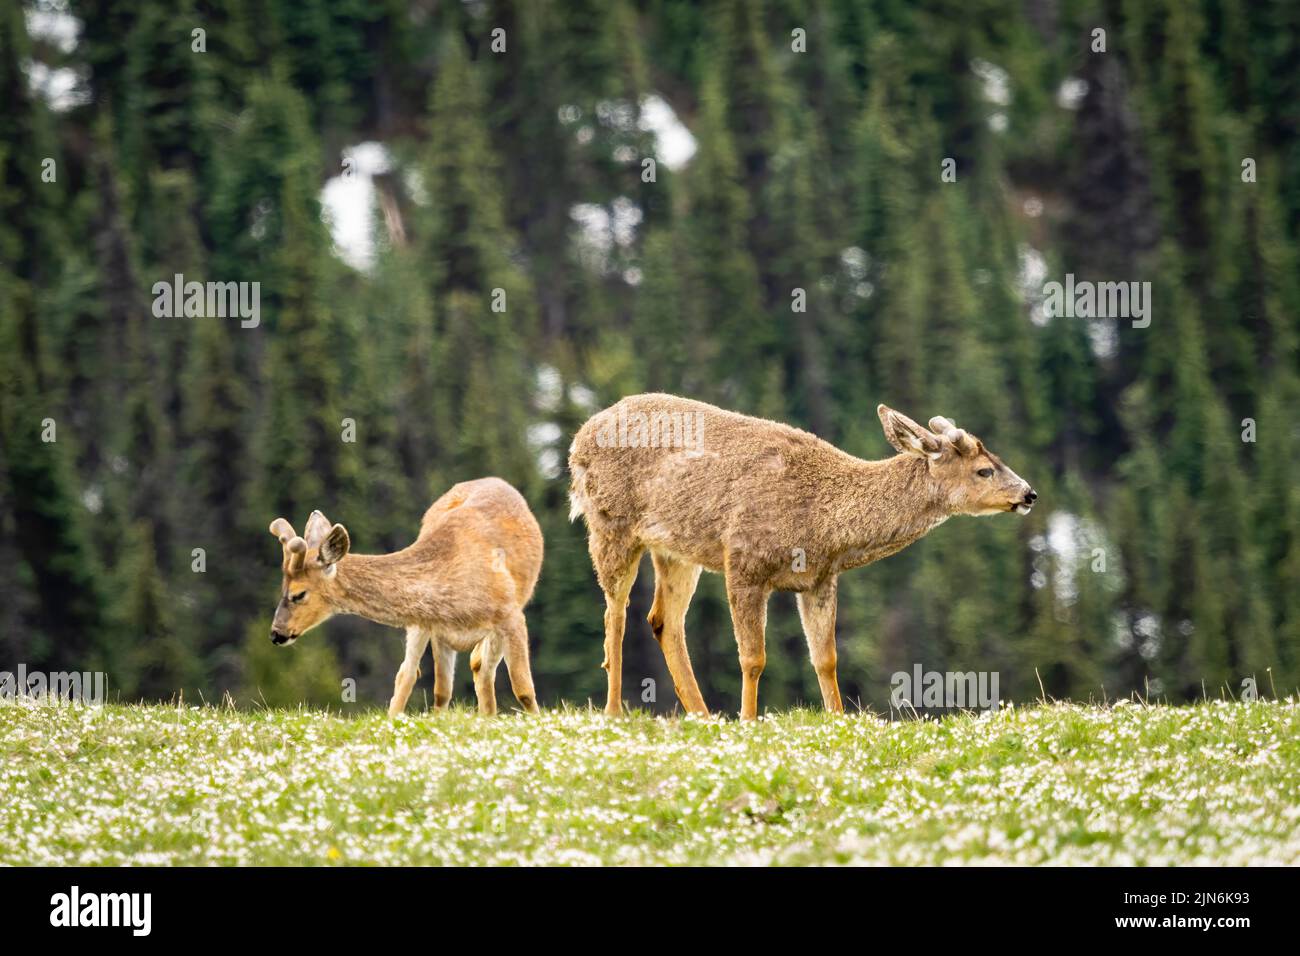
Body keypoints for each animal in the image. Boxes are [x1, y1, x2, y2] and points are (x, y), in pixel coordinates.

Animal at [266, 477, 544, 716]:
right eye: (281, 587)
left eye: (298, 594)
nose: (276, 633)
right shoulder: (437, 628)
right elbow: (441, 691)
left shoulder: (510, 614)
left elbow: (523, 688)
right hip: (420, 625)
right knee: (411, 672)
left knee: (481, 666)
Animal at [568, 393, 1037, 721]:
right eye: (984, 470)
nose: (1029, 493)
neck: (823, 518)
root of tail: (580, 438)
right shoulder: (743, 559)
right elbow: (753, 658)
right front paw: (748, 720)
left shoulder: (819, 580)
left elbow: (826, 660)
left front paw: (839, 720)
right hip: (610, 523)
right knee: (616, 612)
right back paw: (614, 710)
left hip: (677, 550)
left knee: (664, 620)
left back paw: (701, 715)